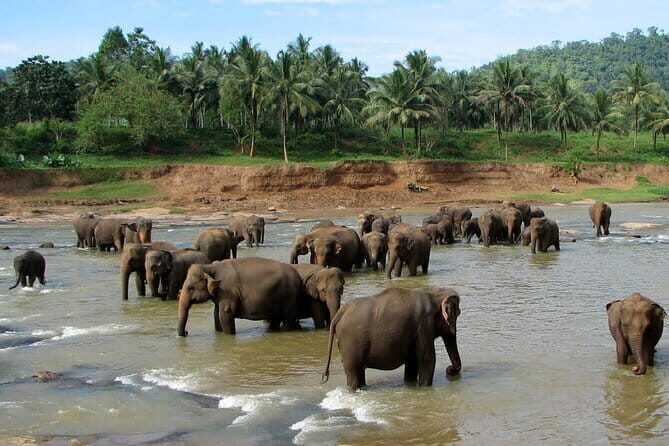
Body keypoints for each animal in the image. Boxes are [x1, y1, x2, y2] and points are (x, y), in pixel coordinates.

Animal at [322, 287, 462, 390]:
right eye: (458, 313)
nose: (449, 369)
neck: (434, 294)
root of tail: (340, 312)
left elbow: (412, 361)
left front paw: (411, 385)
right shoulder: (424, 324)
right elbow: (427, 359)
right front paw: (423, 387)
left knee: (359, 371)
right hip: (351, 343)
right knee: (353, 373)